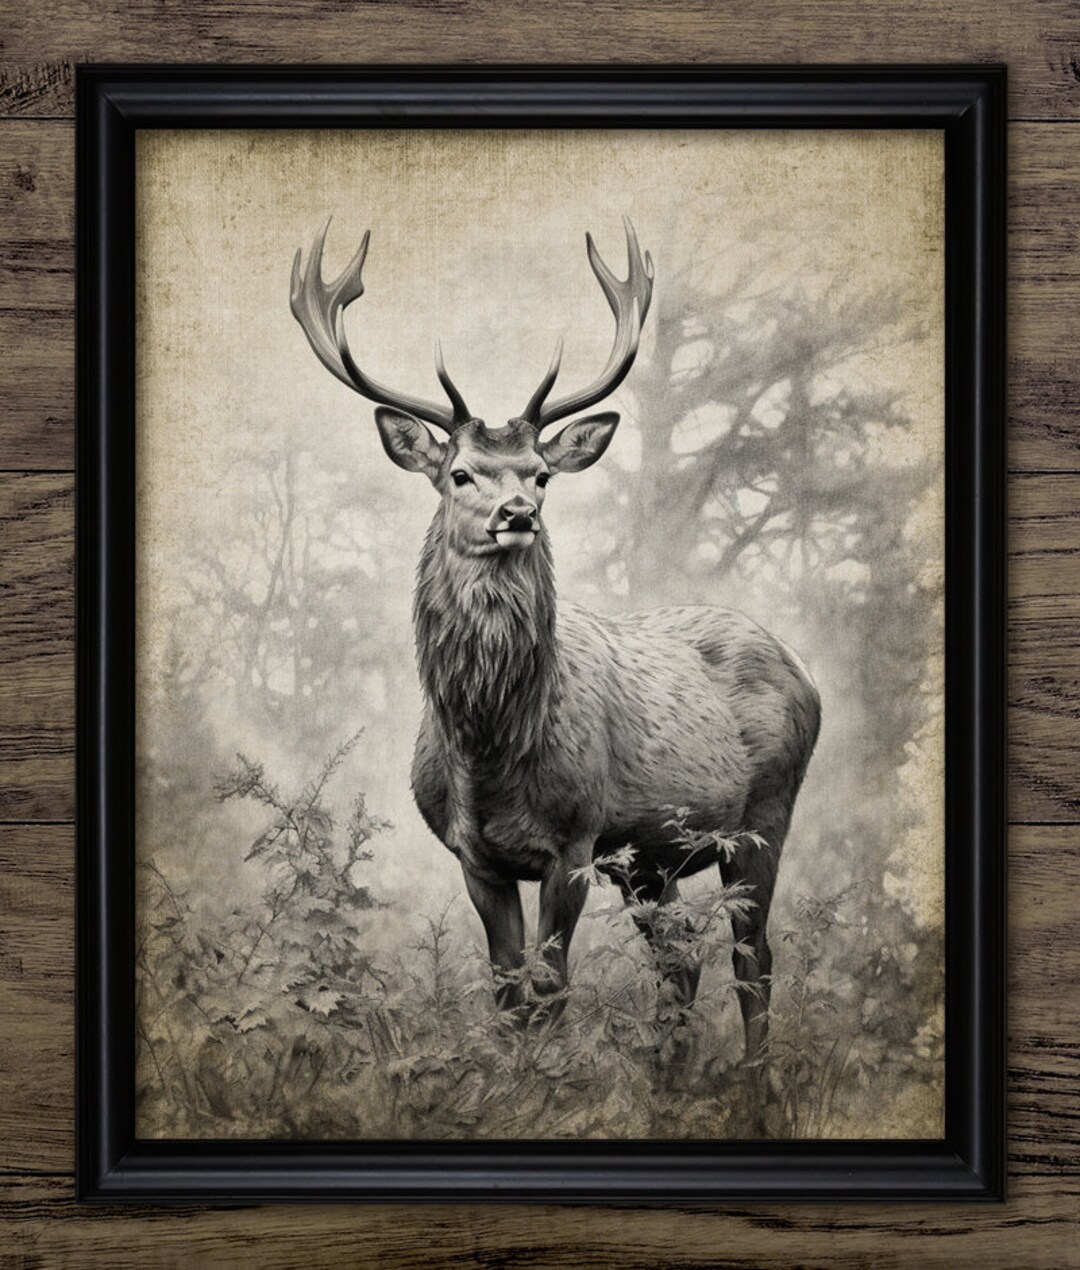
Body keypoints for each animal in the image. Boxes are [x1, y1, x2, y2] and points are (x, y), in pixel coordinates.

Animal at [290, 217, 820, 1065]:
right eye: (461, 474)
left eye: (540, 473)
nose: (518, 515)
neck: (490, 751)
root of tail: (803, 668)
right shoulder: (476, 857)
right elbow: (508, 994)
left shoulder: (572, 842)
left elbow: (550, 990)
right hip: (649, 857)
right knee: (682, 962)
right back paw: (671, 1076)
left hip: (765, 813)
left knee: (753, 956)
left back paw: (751, 1077)